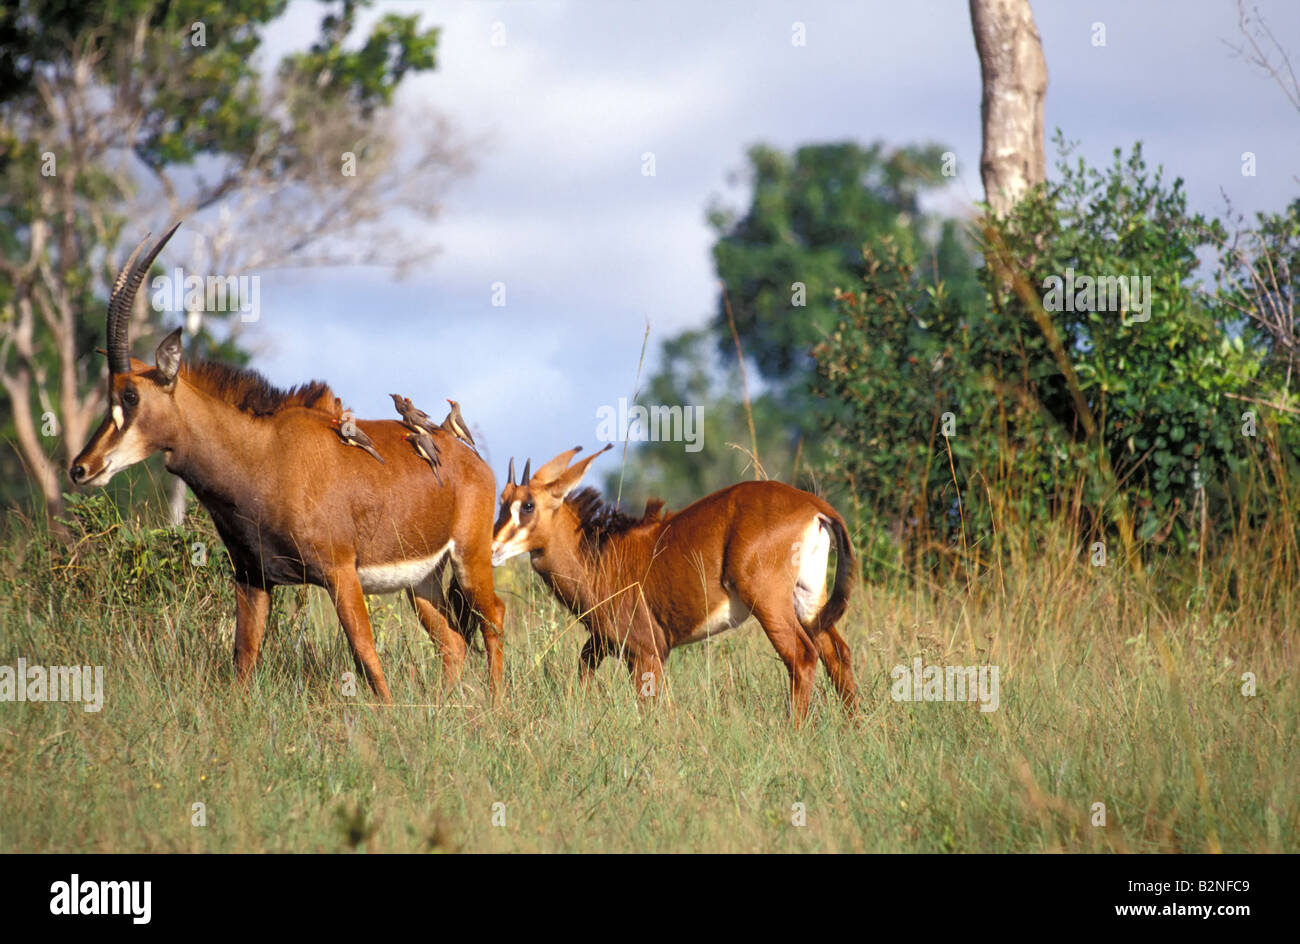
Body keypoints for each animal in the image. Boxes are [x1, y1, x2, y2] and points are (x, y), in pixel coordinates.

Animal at [69, 224, 505, 701]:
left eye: (130, 396)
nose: (81, 467)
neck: (262, 454)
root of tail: (474, 462)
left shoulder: (339, 572)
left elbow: (365, 652)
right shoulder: (251, 576)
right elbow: (244, 656)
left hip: (470, 558)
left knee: (493, 619)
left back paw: (497, 705)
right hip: (422, 579)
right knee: (452, 639)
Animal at [491, 445, 857, 724]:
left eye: (528, 505)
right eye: (501, 501)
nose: (492, 548)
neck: (599, 553)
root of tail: (813, 505)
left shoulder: (647, 650)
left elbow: (651, 706)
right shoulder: (604, 643)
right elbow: (582, 674)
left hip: (768, 601)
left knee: (802, 656)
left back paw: (792, 733)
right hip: (807, 599)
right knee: (837, 653)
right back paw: (854, 727)